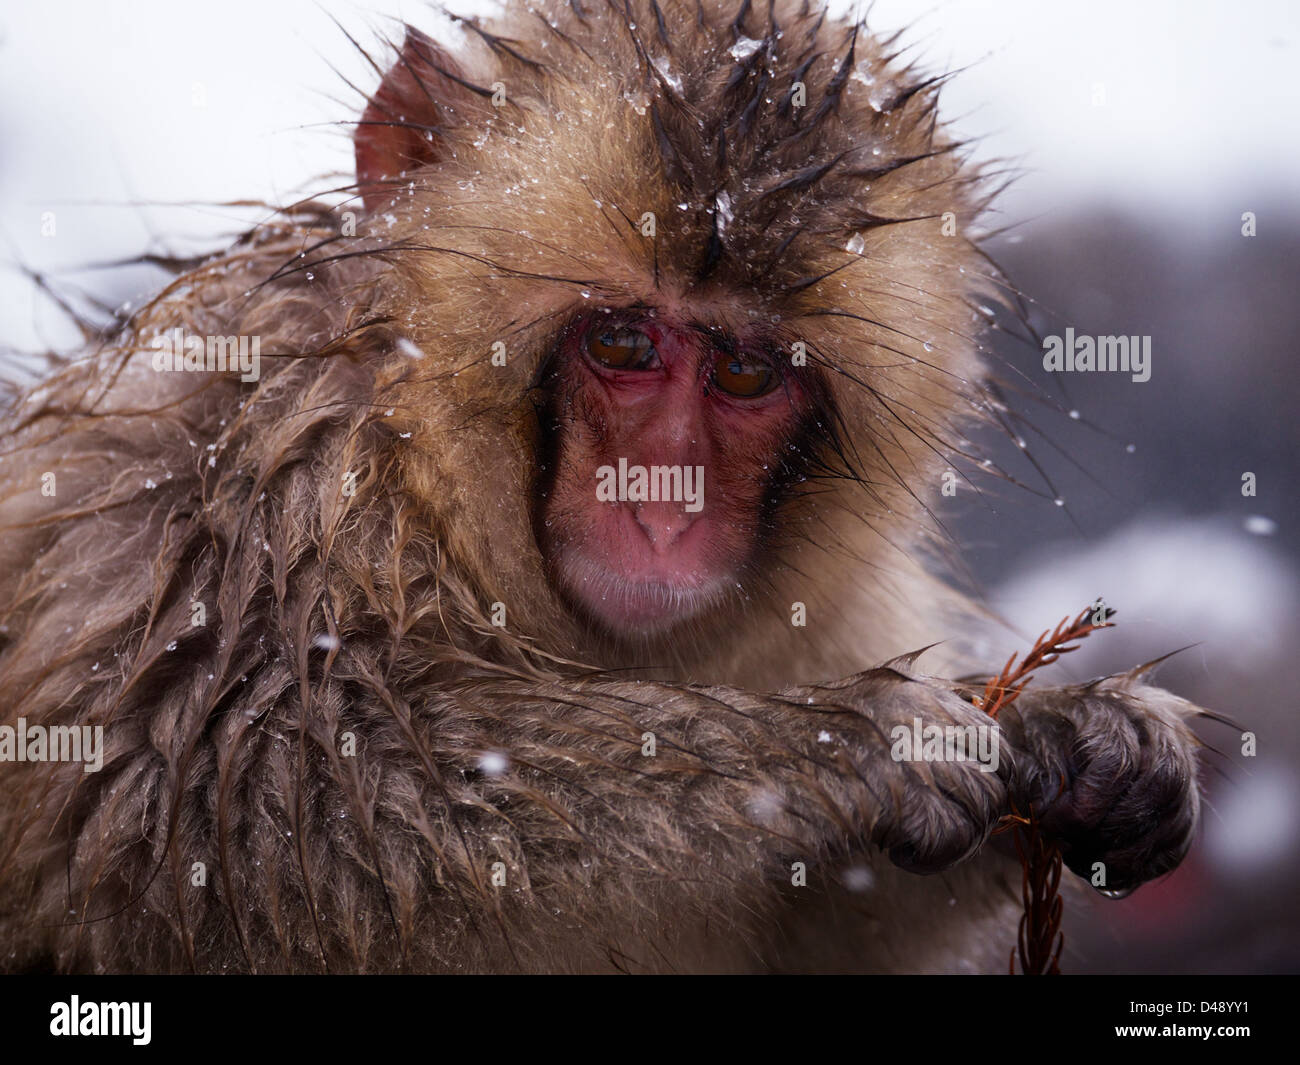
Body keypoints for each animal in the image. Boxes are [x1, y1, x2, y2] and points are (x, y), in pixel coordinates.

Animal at [0, 0, 1204, 974]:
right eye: (623, 344)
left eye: (745, 372)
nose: (661, 508)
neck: (431, 467)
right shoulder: (261, 473)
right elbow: (226, 805)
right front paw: (862, 744)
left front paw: (1088, 739)